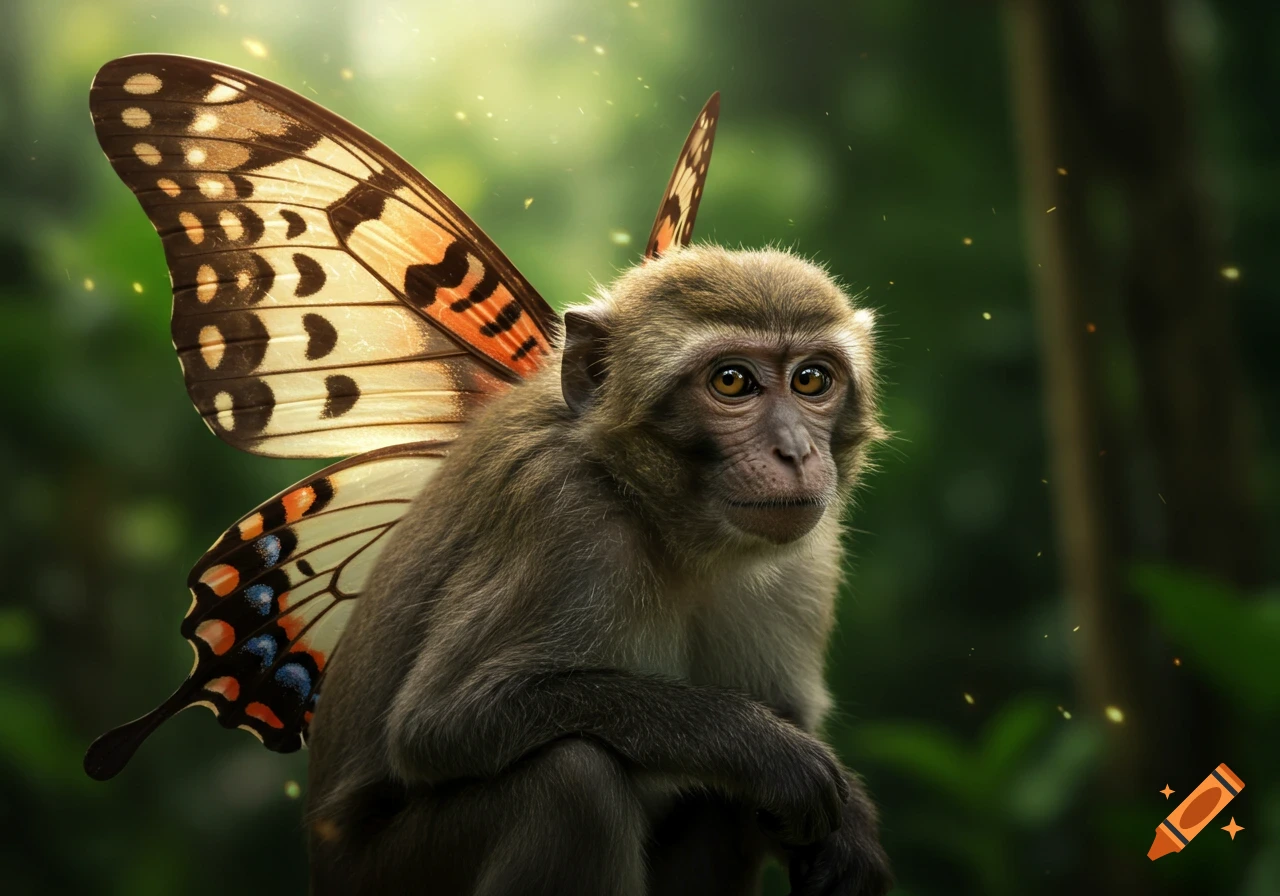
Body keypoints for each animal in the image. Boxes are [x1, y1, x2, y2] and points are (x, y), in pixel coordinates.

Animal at [304, 244, 893, 896]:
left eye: (812, 379)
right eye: (731, 381)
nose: (795, 450)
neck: (671, 528)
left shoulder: (808, 556)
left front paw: (852, 830)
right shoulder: (565, 519)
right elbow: (440, 724)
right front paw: (764, 749)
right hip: (397, 871)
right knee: (573, 782)